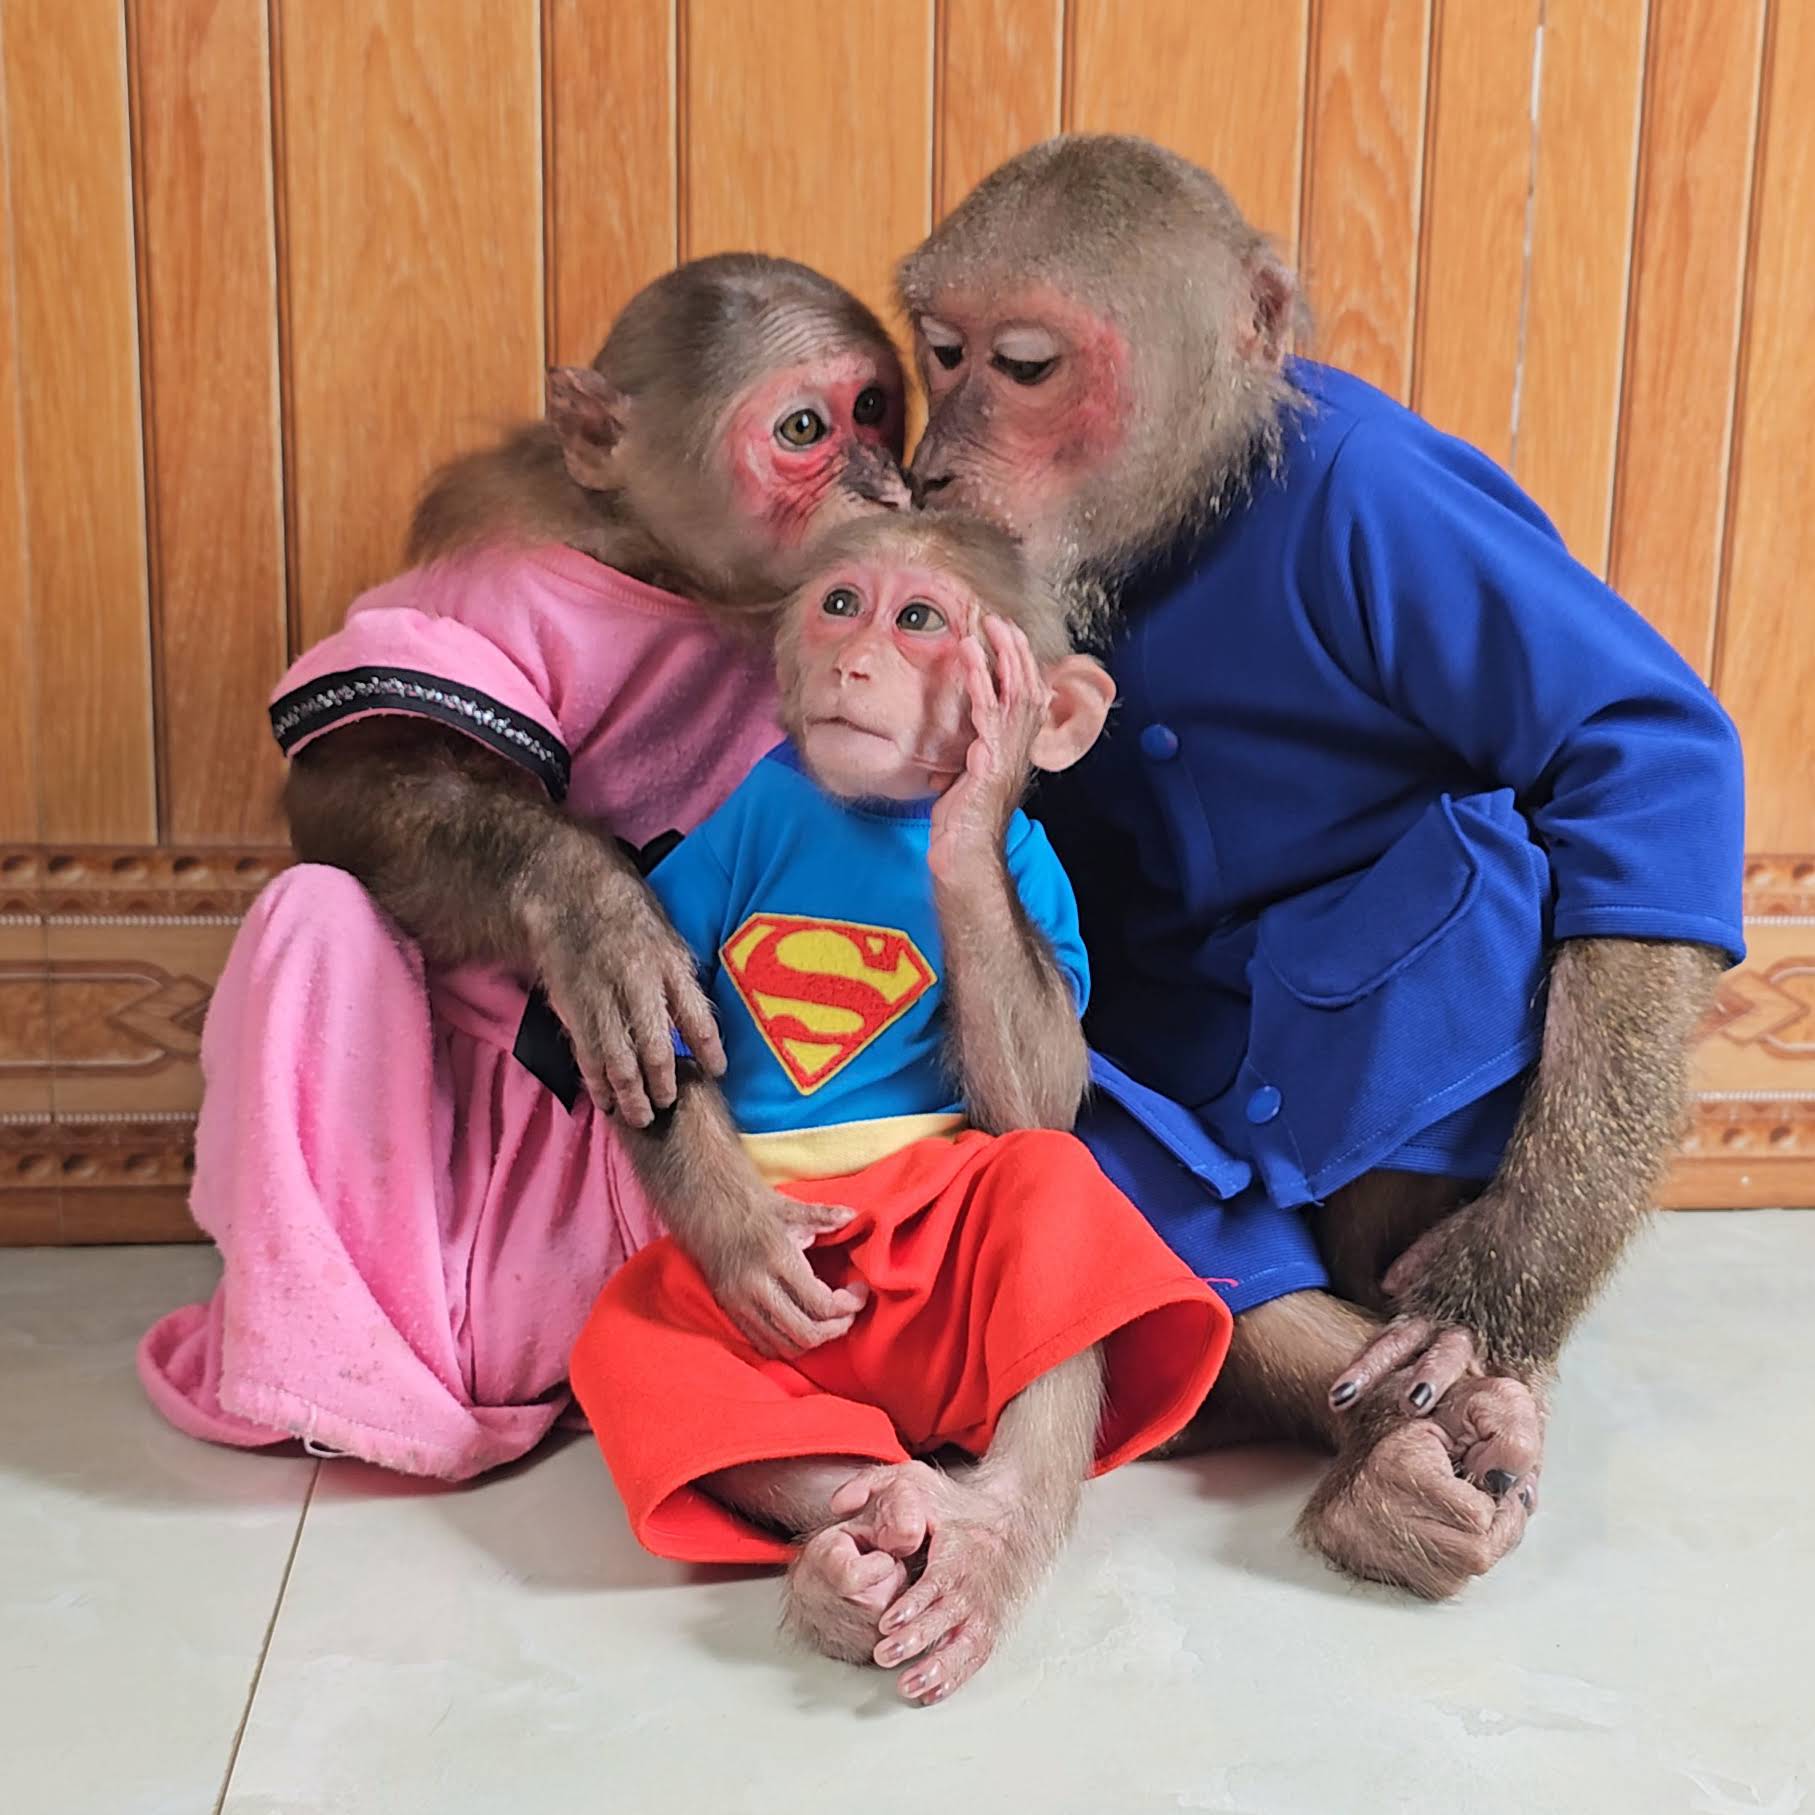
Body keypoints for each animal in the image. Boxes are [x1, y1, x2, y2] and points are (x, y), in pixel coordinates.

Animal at [137, 255, 921, 1483]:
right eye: (808, 427)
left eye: (878, 407)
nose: (883, 478)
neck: (674, 580)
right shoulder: (492, 577)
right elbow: (357, 776)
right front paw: (592, 914)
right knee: (311, 913)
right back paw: (337, 1405)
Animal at [567, 513, 1231, 1706]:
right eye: (842, 602)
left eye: (919, 617)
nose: (852, 659)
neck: (878, 810)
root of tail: (909, 1408)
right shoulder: (733, 828)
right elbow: (667, 1051)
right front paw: (751, 1246)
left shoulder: (1037, 877)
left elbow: (1039, 1100)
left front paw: (978, 792)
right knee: (647, 1355)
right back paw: (854, 1533)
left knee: (1049, 1195)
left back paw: (977, 1539)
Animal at [893, 135, 1745, 1600]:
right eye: (941, 353)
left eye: (1022, 366)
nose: (934, 469)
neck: (1188, 534)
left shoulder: (1400, 515)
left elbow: (1629, 761)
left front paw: (1498, 1286)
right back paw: (1378, 1447)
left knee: (1495, 846)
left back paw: (1460, 1394)